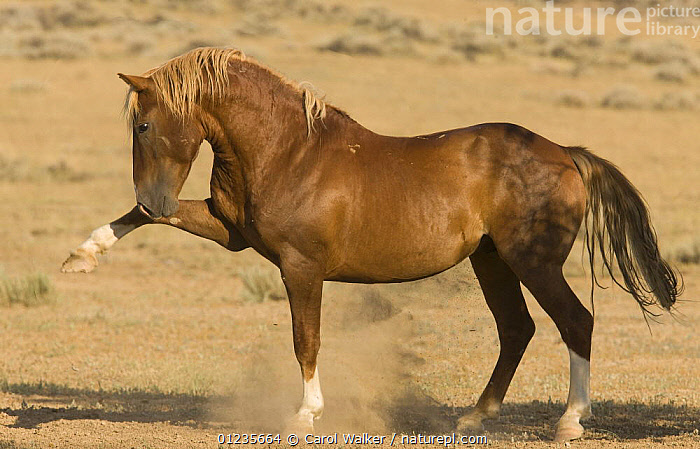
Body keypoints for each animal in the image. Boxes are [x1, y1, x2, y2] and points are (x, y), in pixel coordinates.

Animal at [61, 47, 681, 442]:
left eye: (143, 126)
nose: (154, 196)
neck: (289, 152)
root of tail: (565, 153)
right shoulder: (231, 232)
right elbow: (141, 222)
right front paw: (81, 257)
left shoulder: (301, 268)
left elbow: (305, 341)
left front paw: (305, 415)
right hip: (492, 261)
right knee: (517, 330)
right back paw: (475, 419)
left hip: (532, 260)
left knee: (575, 321)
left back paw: (569, 422)